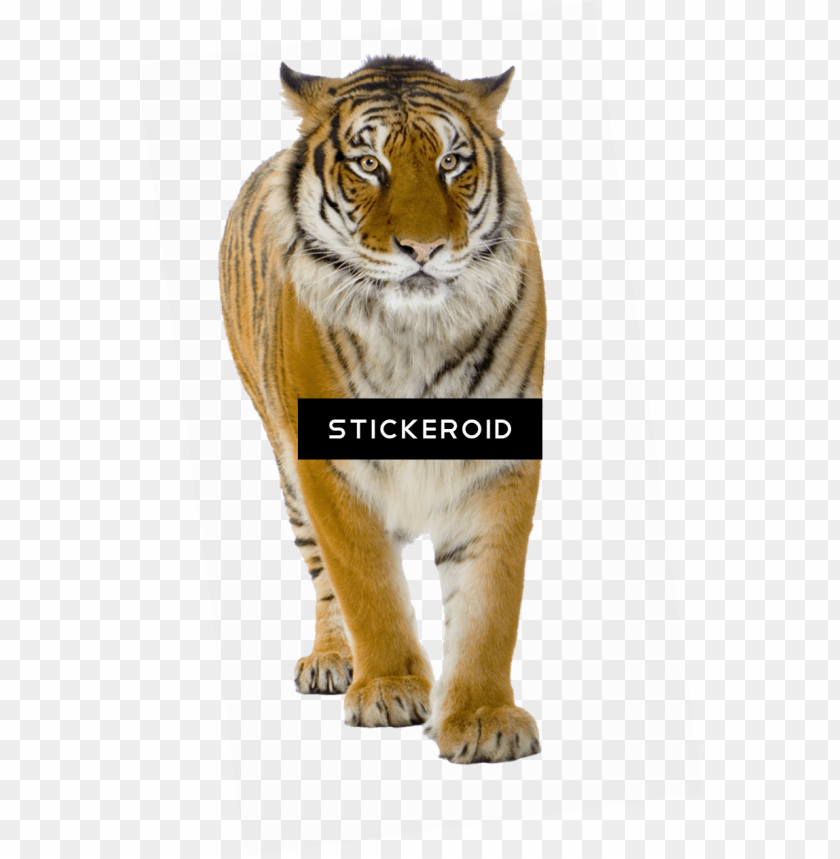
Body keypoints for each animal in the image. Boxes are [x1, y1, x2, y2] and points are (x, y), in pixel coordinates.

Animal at [218, 56, 546, 764]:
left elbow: (489, 603)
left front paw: (485, 717)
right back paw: (331, 660)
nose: (422, 249)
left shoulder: (500, 461)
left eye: (452, 161)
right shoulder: (329, 466)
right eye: (369, 164)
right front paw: (390, 689)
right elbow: (366, 585)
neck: (415, 334)